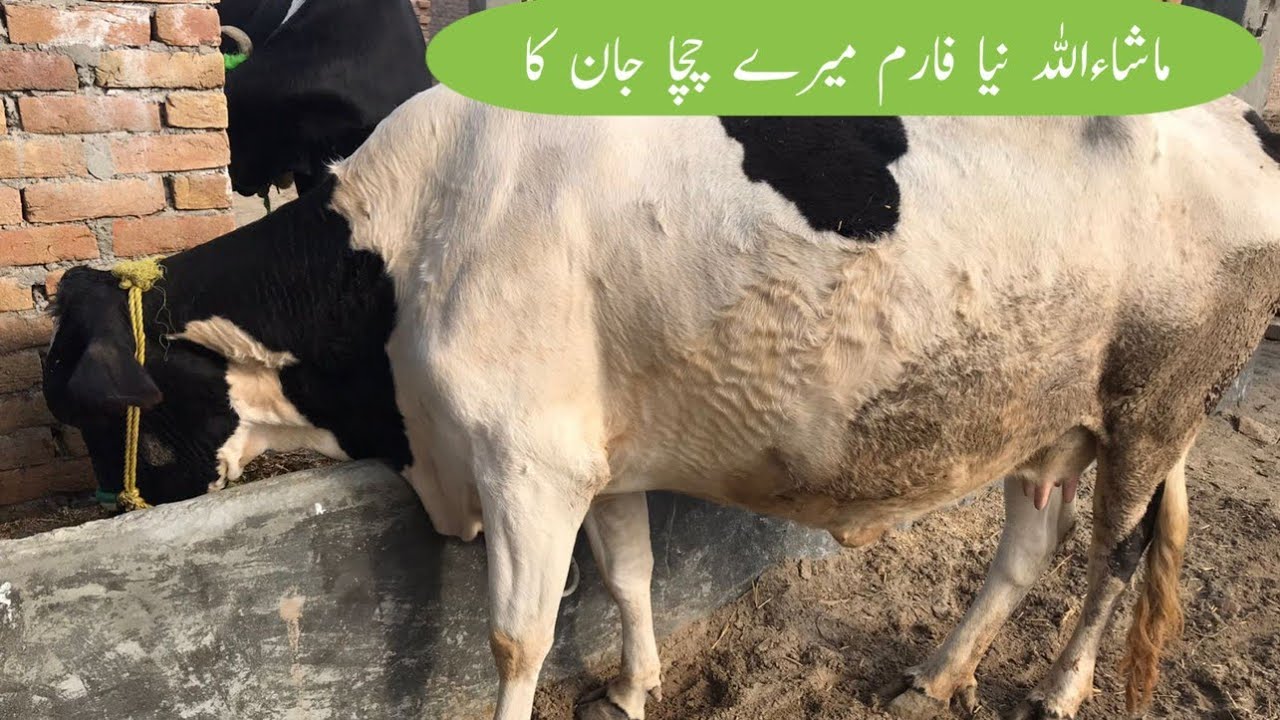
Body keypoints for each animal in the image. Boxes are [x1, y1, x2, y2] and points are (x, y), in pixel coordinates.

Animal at [44, 86, 1280, 720]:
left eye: (91, 412)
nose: (99, 507)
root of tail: (1242, 118)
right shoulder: (596, 455)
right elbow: (631, 577)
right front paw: (635, 690)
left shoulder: (524, 463)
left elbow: (518, 636)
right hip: (1045, 417)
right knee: (1029, 548)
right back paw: (933, 674)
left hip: (1154, 408)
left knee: (1113, 560)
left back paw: (1055, 692)